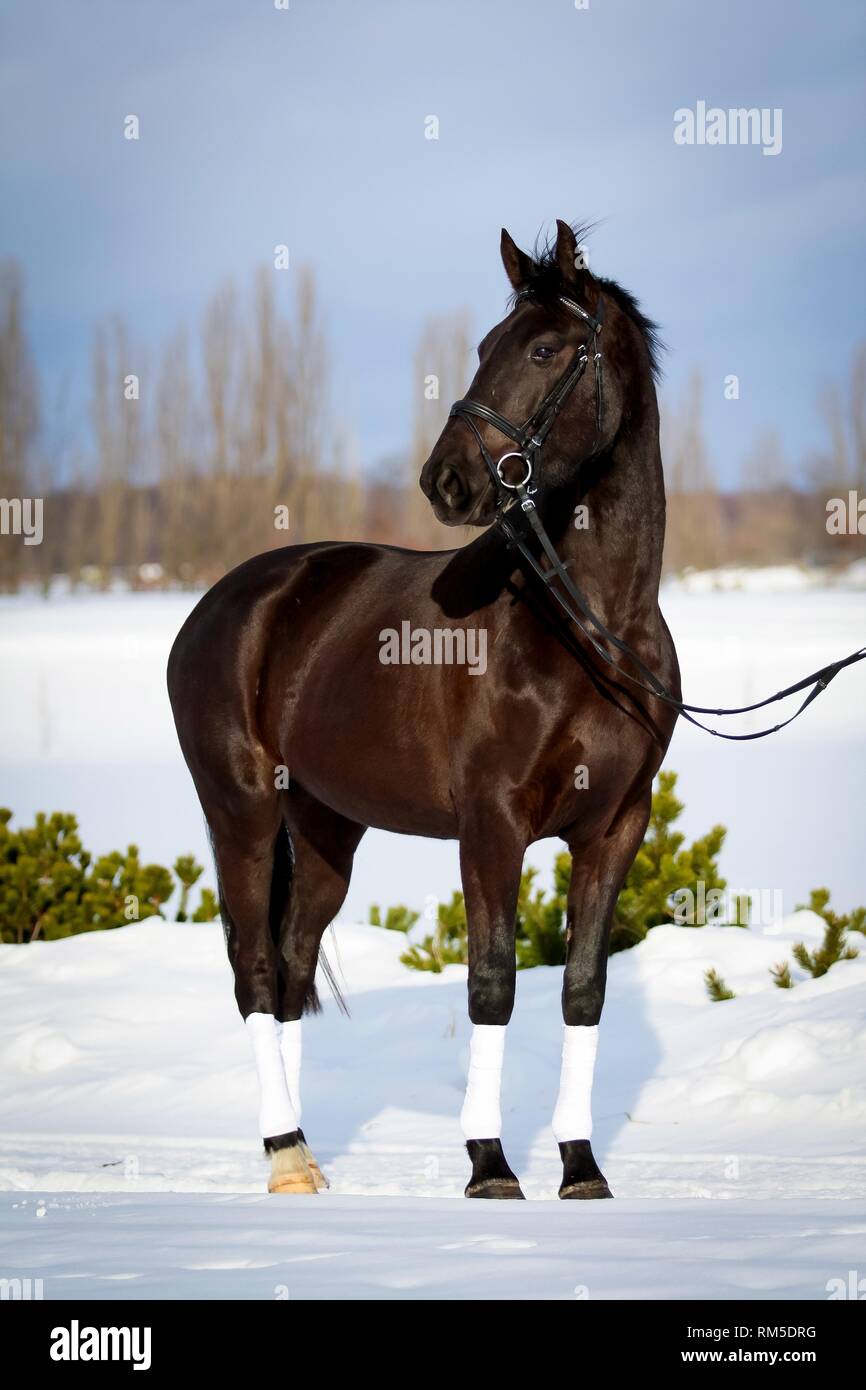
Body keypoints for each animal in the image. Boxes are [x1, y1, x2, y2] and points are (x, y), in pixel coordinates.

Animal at [167, 219, 679, 1199]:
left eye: (545, 348)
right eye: (485, 346)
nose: (445, 481)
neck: (588, 629)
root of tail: (227, 601)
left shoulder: (615, 827)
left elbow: (582, 990)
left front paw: (581, 1168)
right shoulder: (492, 824)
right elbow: (492, 983)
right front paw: (490, 1166)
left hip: (327, 827)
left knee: (293, 963)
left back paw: (305, 1154)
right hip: (241, 811)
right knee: (256, 970)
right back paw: (284, 1157)